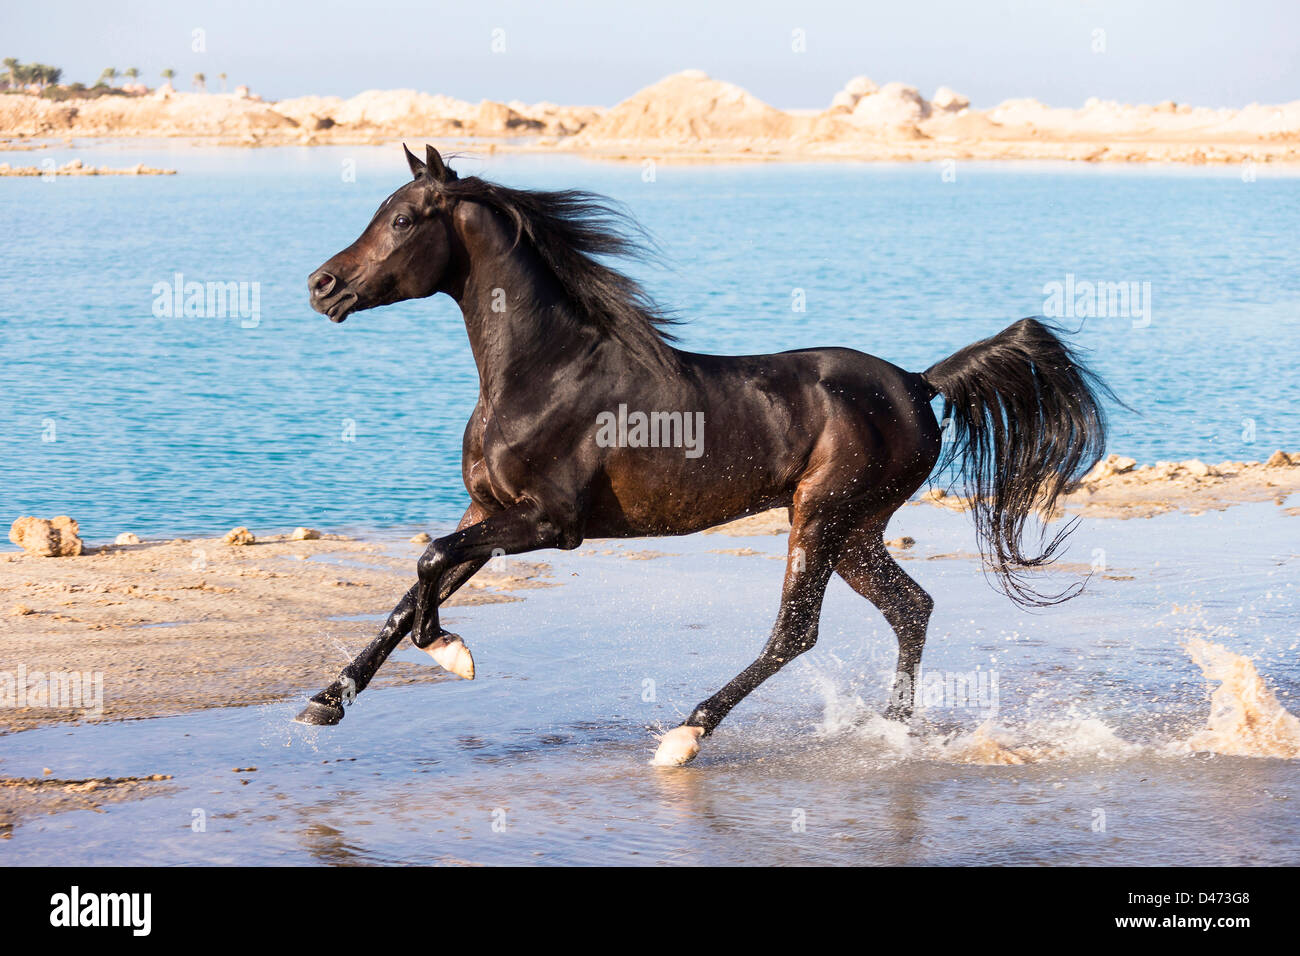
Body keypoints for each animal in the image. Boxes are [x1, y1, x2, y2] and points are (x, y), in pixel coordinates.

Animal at [298, 144, 1111, 767]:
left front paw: (449, 649)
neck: (544, 372)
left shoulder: (548, 524)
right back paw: (893, 731)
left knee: (797, 631)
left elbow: (427, 563)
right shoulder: (487, 512)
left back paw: (685, 736)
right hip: (854, 530)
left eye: (402, 219)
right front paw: (325, 703)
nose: (321, 285)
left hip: (821, 517)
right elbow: (410, 591)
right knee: (910, 609)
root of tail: (919, 382)